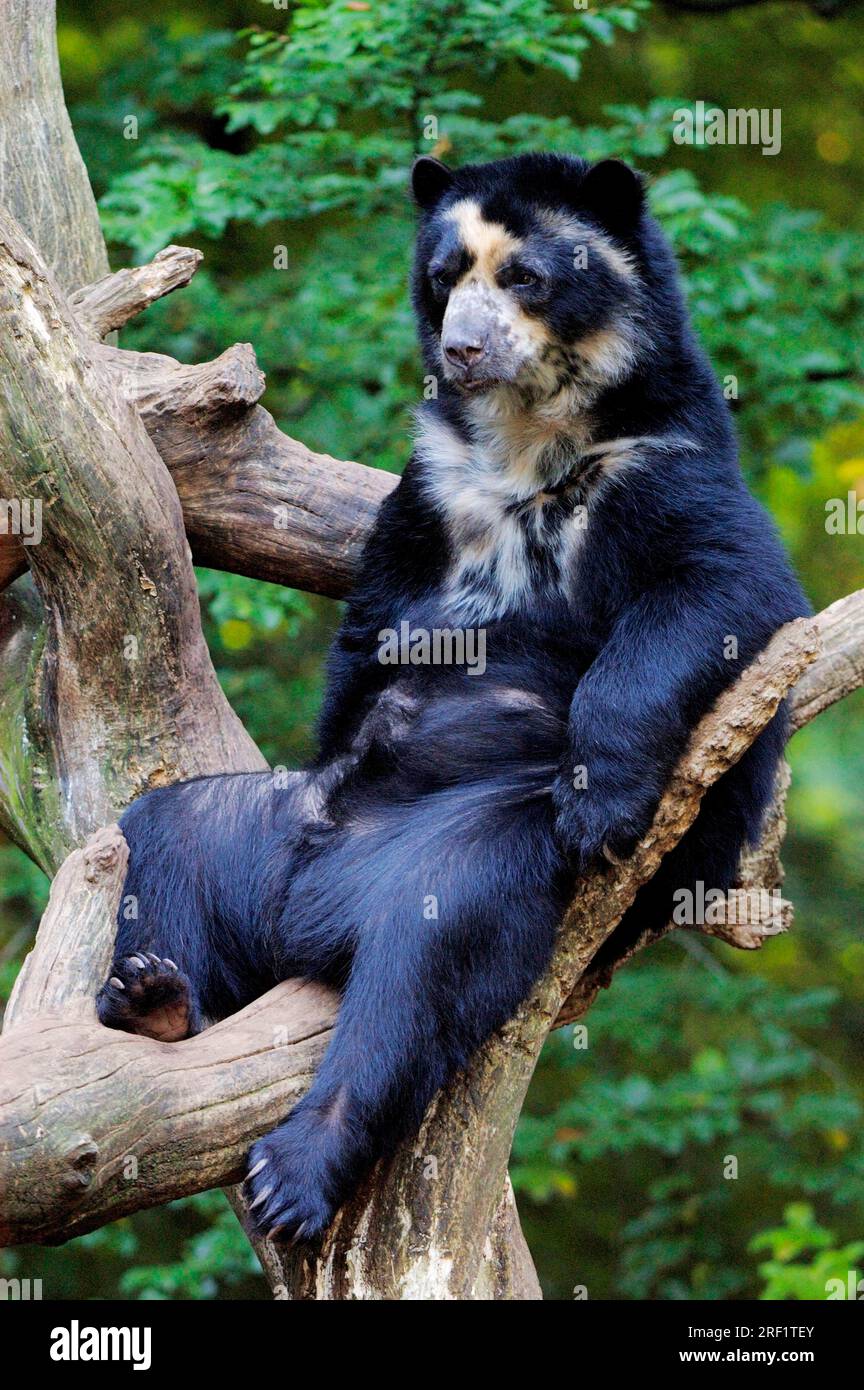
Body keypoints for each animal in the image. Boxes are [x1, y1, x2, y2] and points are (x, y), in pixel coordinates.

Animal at [96, 153, 810, 1242]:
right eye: (444, 275)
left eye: (525, 278)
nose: (465, 349)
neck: (524, 436)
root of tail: (304, 908)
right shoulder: (429, 490)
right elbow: (371, 626)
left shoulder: (657, 459)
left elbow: (716, 589)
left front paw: (602, 795)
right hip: (261, 829)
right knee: (166, 839)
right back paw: (154, 998)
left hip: (483, 829)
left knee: (431, 948)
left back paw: (295, 1165)